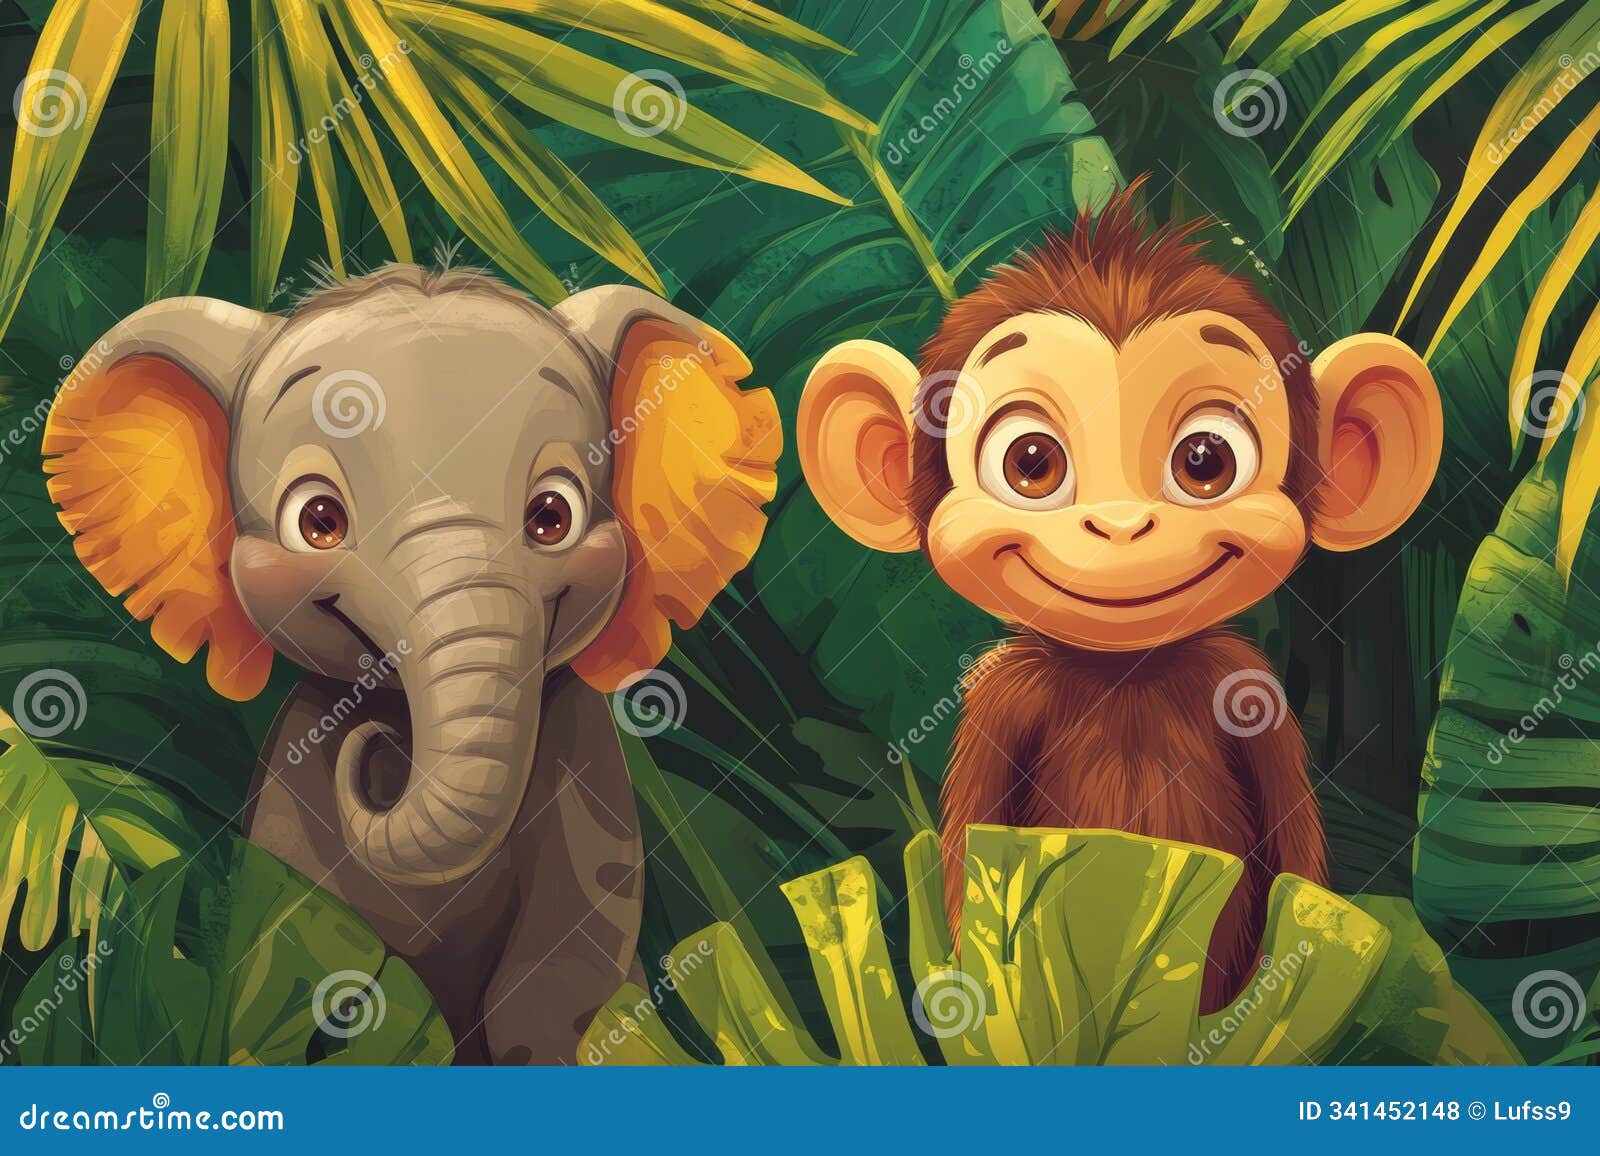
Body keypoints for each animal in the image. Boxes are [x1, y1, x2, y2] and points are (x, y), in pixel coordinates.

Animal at [40, 263, 781, 1063]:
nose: (380, 752)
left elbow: (564, 976)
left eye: (553, 516)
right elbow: (308, 937)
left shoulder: (585, 770)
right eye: (318, 521)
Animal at [795, 179, 1442, 1012]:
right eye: (1031, 462)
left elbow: (1298, 875)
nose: (1122, 525)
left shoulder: (1250, 685)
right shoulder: (1000, 698)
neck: (1124, 671)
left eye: (1205, 460)